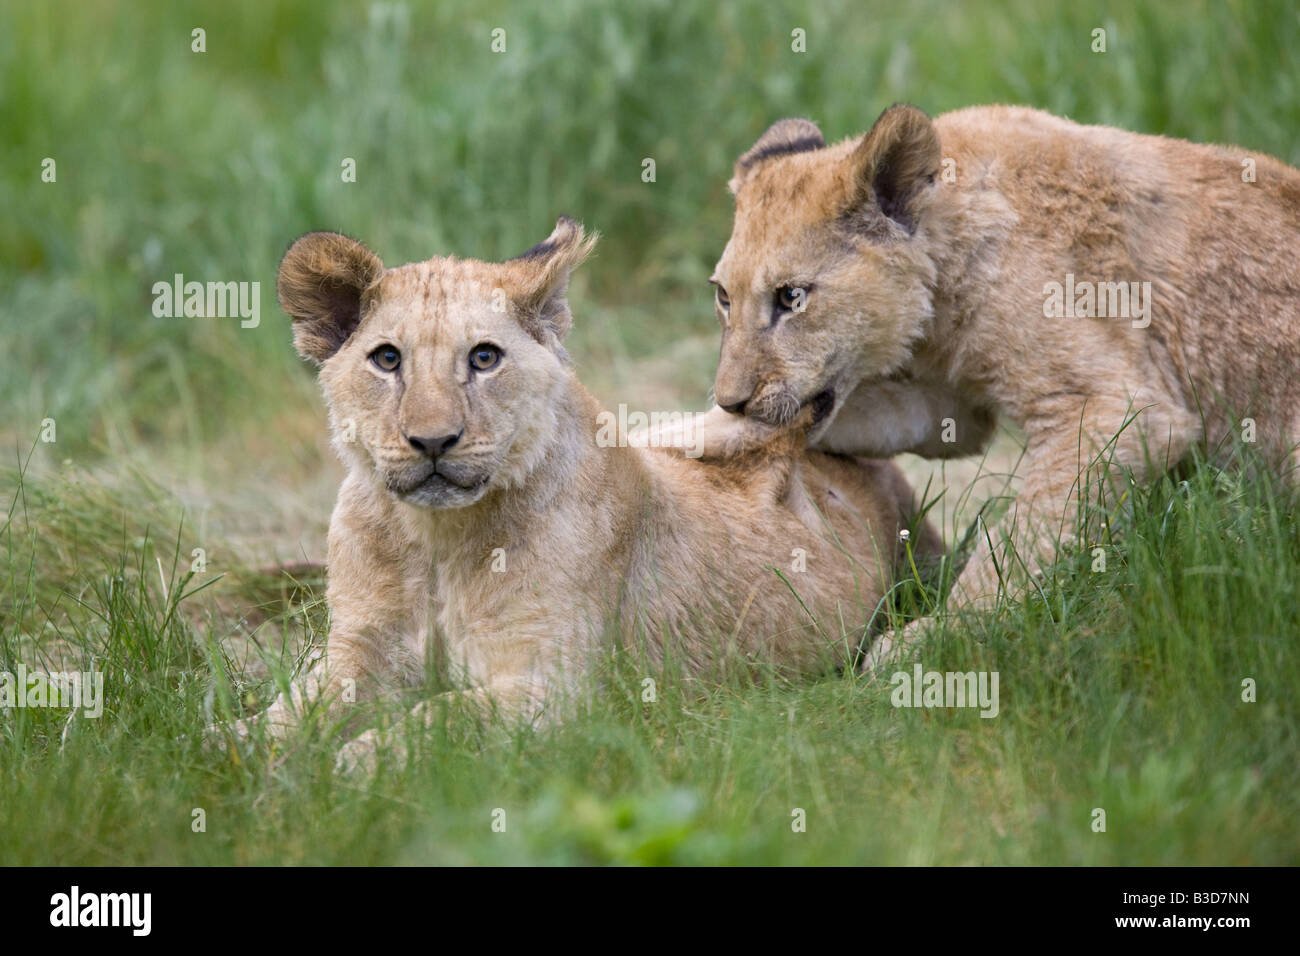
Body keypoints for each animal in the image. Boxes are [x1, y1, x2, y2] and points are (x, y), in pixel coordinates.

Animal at [211, 218, 939, 769]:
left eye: (484, 358)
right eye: (387, 359)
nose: (433, 441)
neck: (435, 541)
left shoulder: (551, 689)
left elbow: (438, 719)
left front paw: (348, 764)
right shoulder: (360, 653)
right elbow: (292, 708)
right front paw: (227, 750)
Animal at [693, 103, 1300, 639]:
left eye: (791, 297)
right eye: (723, 297)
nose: (731, 400)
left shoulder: (1117, 408)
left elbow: (1015, 544)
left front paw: (926, 640)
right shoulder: (950, 408)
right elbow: (862, 415)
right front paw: (691, 430)